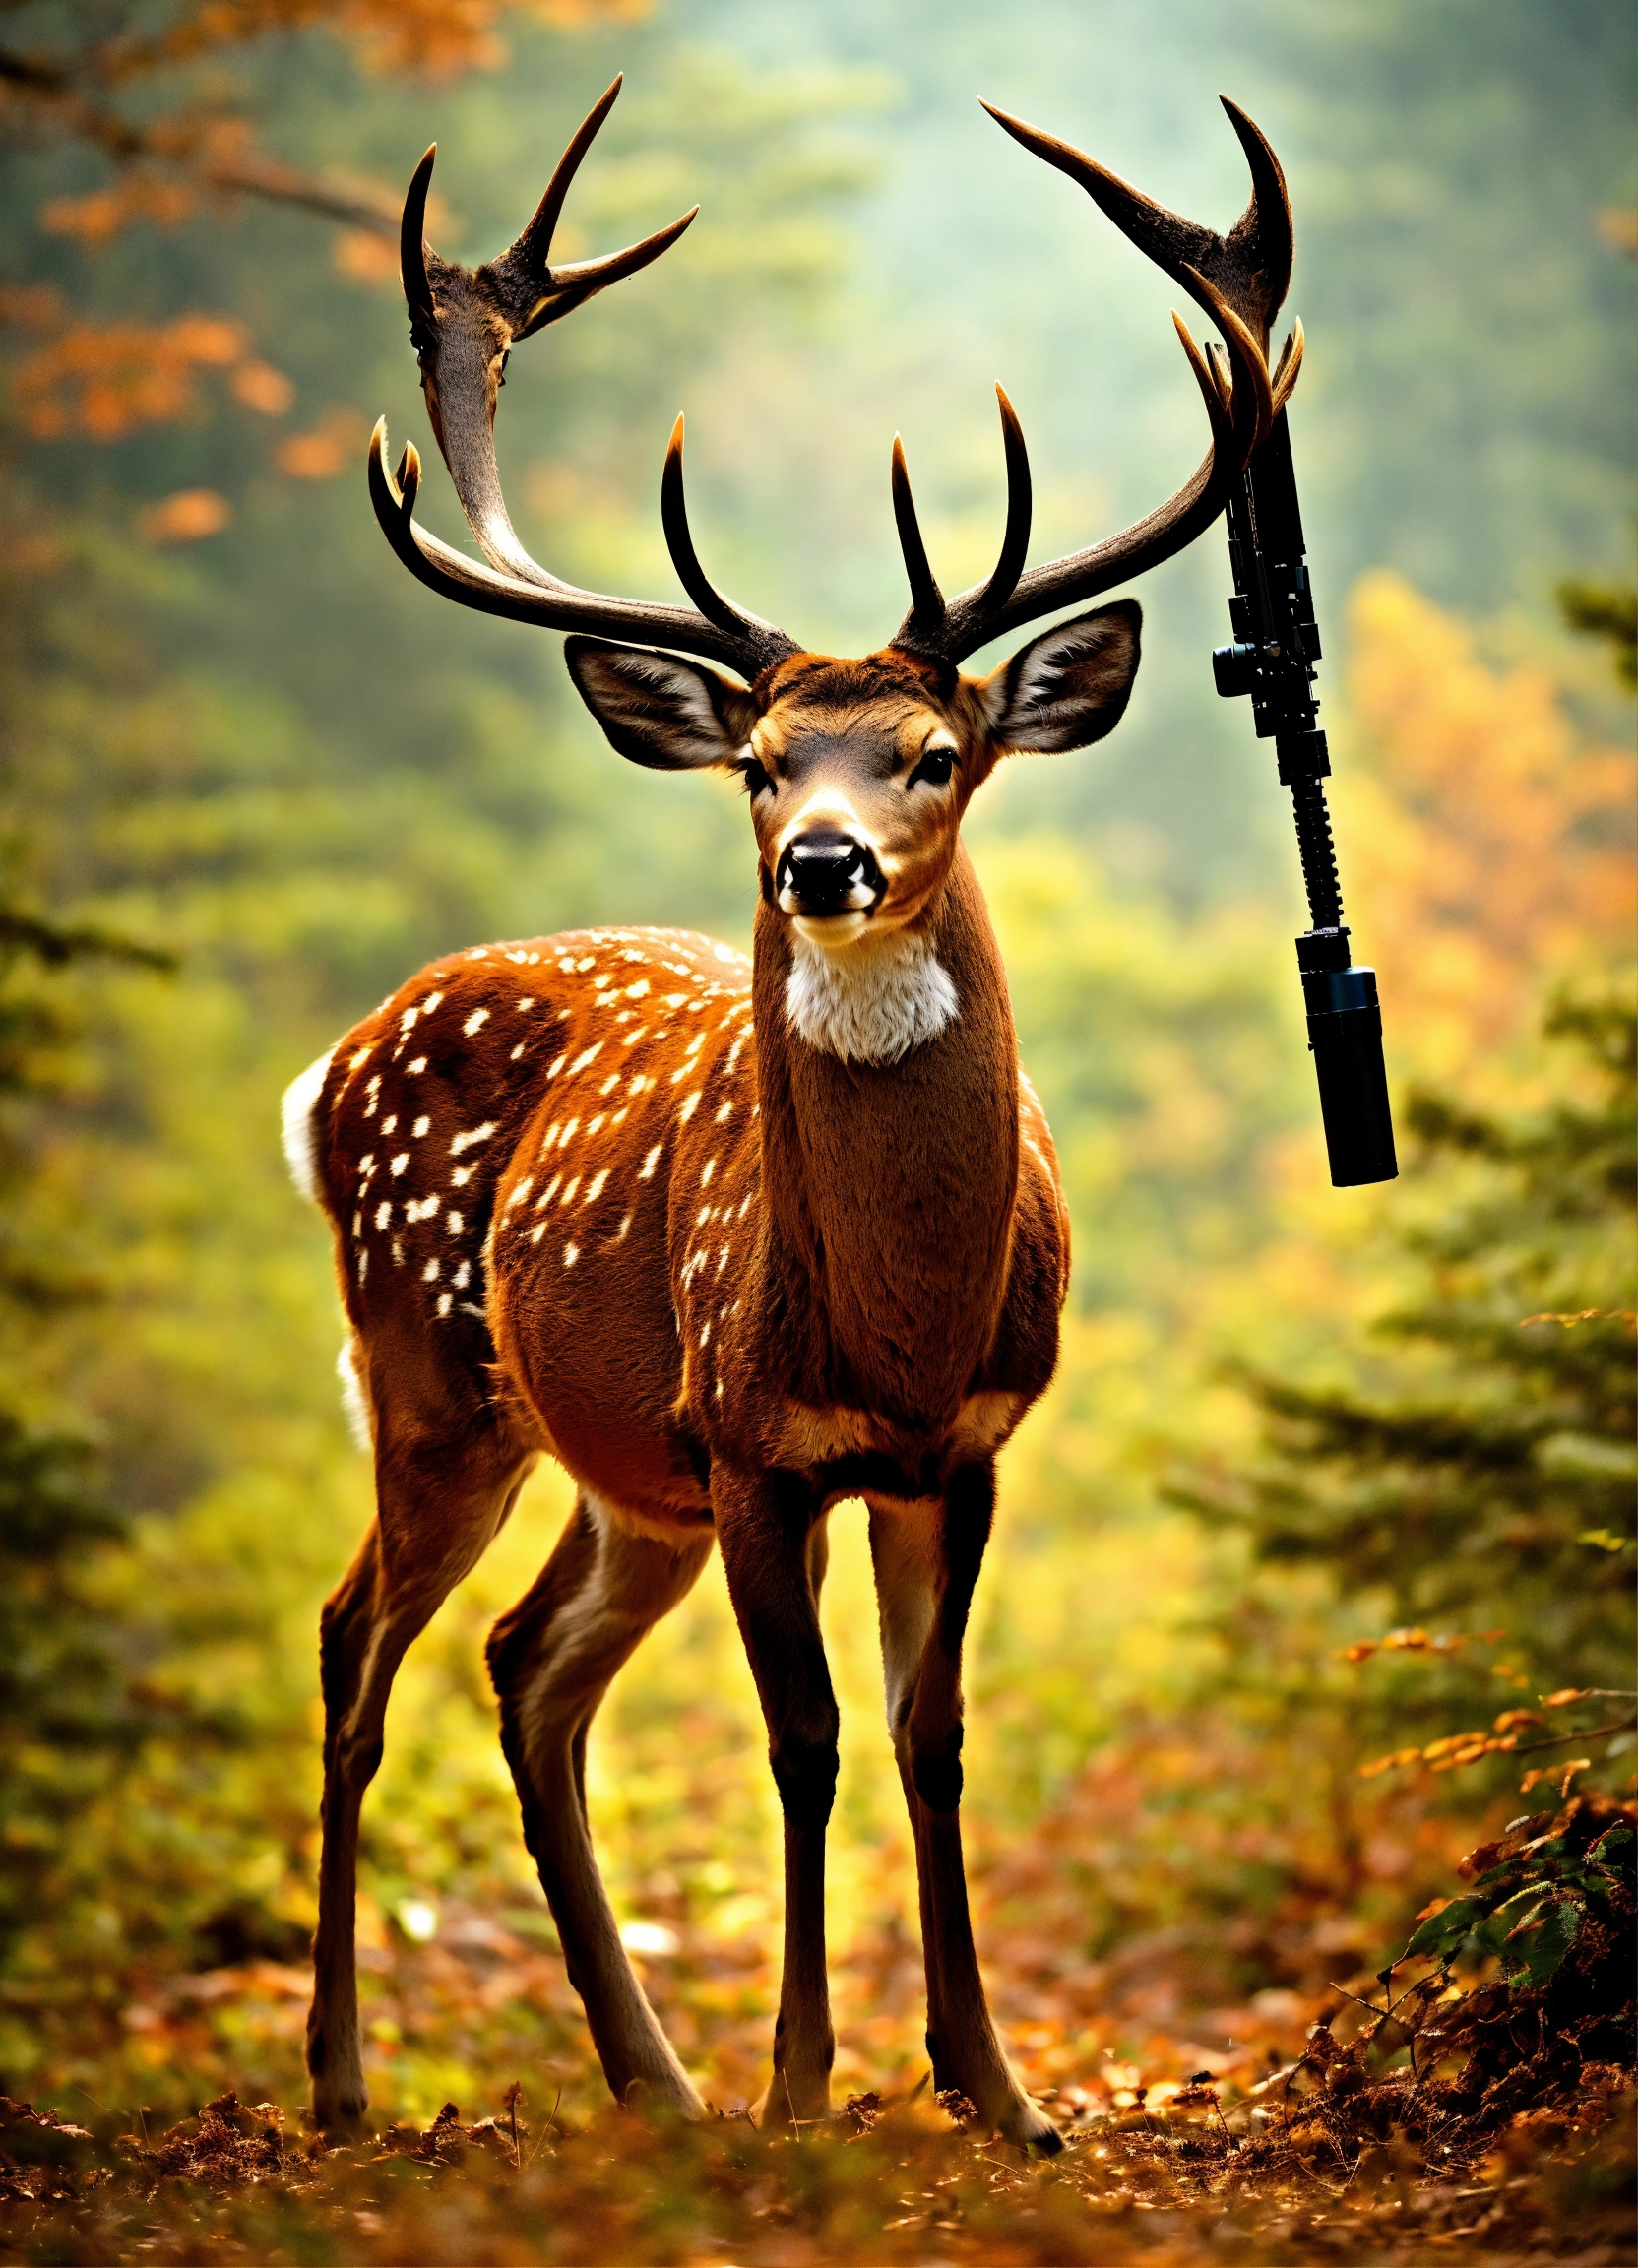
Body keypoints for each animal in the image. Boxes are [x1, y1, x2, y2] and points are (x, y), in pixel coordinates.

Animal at [283, 76, 1303, 2148]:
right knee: (358, 1639)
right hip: (428, 1370)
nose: (819, 858)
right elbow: (804, 1734)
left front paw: (992, 2084)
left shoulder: (957, 1443)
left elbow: (928, 1733)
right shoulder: (754, 1437)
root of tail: (327, 1066)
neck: (890, 1330)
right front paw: (805, 2084)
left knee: (526, 1663)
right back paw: (347, 2075)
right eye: (758, 759)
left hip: (616, 1462)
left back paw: (647, 2075)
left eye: (934, 751)